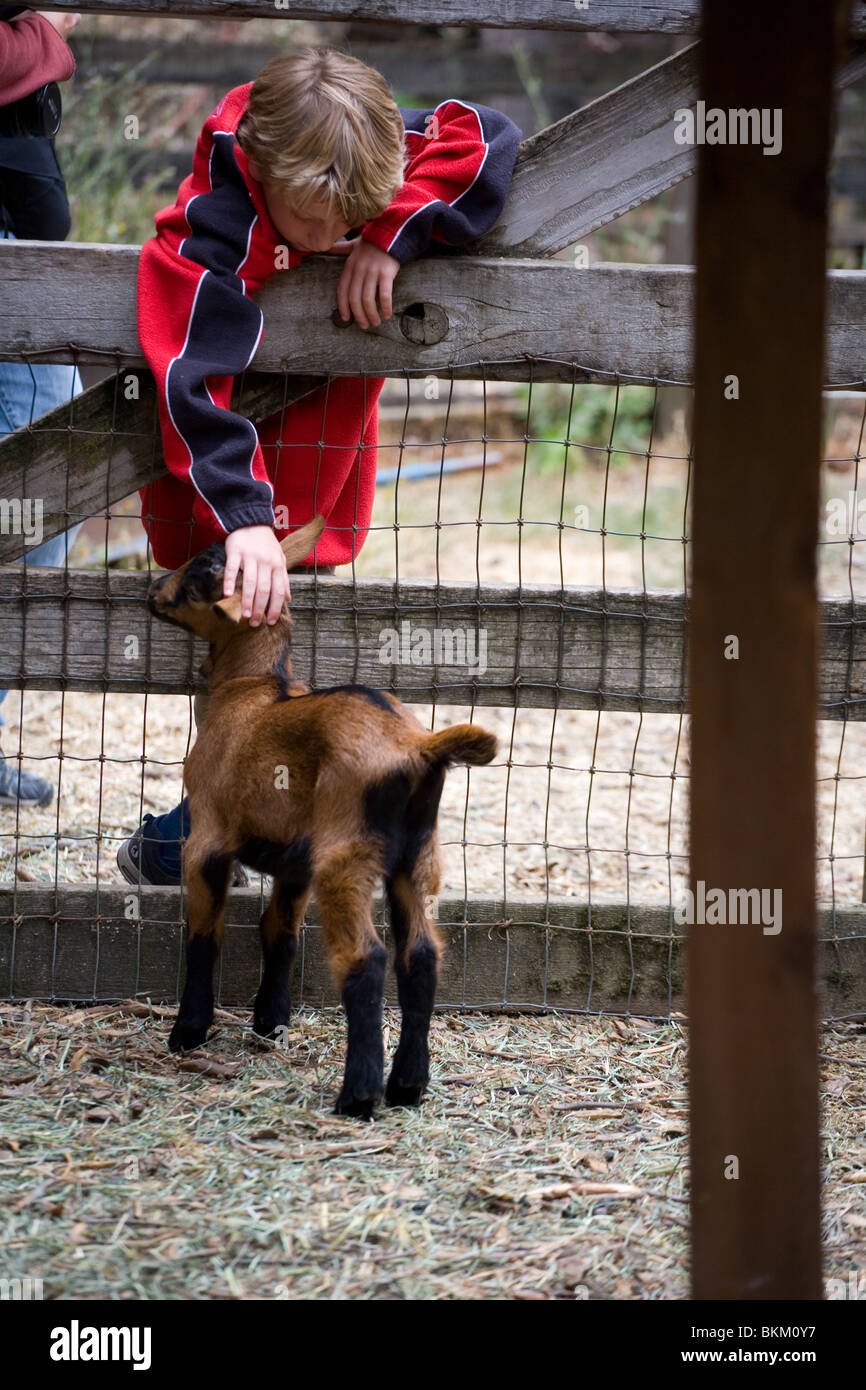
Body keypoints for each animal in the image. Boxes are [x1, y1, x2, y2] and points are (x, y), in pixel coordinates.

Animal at [146, 515, 498, 1118]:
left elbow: (205, 934)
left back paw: (358, 1094)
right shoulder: (294, 860)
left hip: (345, 857)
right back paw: (407, 1087)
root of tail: (417, 746)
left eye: (201, 571)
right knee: (421, 955)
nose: (153, 590)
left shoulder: (208, 840)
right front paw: (270, 1022)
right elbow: (279, 932)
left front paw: (189, 1030)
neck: (251, 687)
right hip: (418, 858)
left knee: (366, 959)